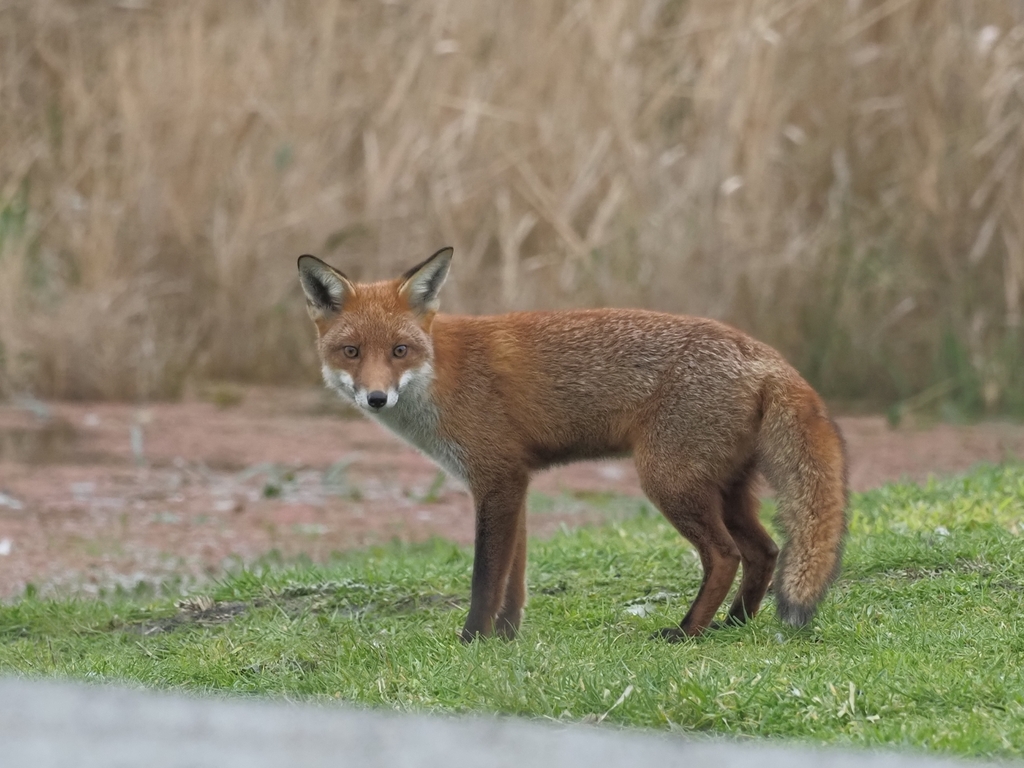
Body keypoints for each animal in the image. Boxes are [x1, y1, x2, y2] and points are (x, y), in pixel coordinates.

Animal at [297, 247, 847, 642]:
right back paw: (733, 625)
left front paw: (472, 640)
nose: (376, 397)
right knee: (766, 551)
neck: (442, 373)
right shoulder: (513, 484)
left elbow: (484, 578)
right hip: (724, 489)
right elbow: (514, 580)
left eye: (399, 350)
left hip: (669, 482)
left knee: (726, 556)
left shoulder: (497, 479)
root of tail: (765, 355)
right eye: (351, 352)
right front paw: (506, 637)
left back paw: (689, 631)